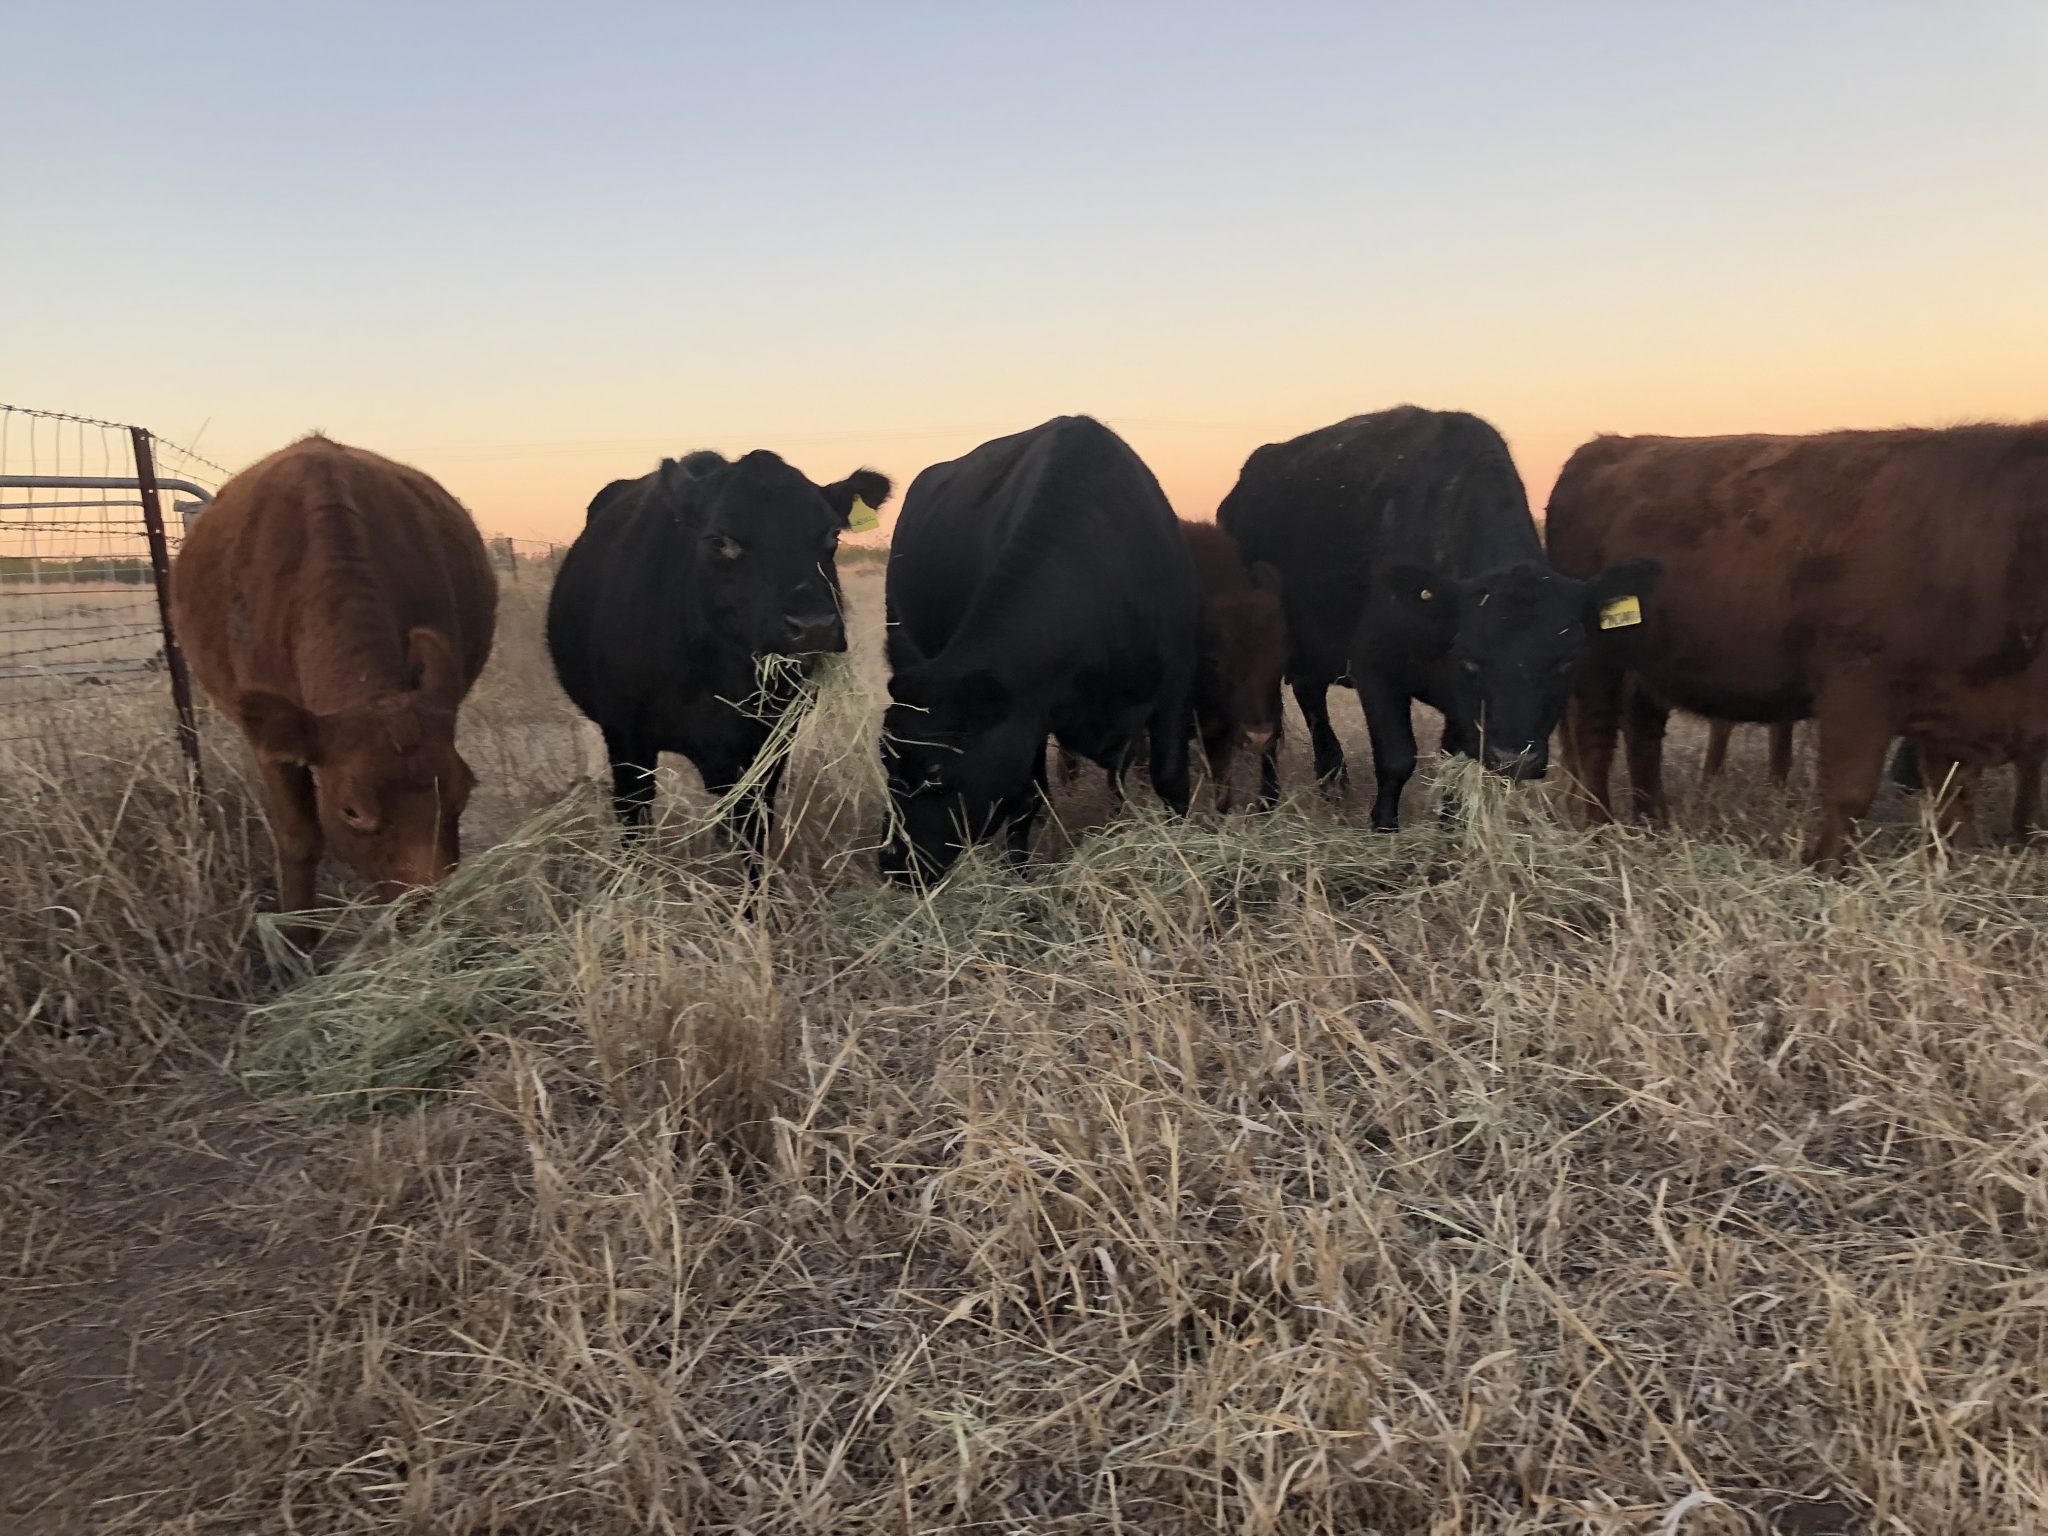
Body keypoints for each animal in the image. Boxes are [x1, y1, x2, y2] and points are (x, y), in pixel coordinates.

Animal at [171, 436, 497, 915]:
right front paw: (297, 934)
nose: (429, 904)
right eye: (351, 811)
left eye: (464, 789)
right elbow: (299, 840)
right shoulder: (271, 742)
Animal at [545, 450, 891, 868]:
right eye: (719, 541)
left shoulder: (769, 740)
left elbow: (752, 827)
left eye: (831, 535)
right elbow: (634, 823)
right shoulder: (624, 736)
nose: (814, 626)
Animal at [879, 416, 1198, 882]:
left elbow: (1169, 778)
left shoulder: (1175, 682)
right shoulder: (1028, 714)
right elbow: (1024, 800)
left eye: (935, 771)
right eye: (885, 761)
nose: (892, 863)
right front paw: (1018, 878)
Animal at [1217, 406, 1660, 829]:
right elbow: (1397, 759)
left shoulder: (1461, 706)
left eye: (1567, 660)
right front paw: (1384, 825)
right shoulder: (1374, 669)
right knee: (1271, 729)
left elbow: (1454, 765)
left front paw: (1449, 829)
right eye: (1470, 658)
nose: (1514, 759)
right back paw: (1269, 800)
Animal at [1548, 423, 2048, 870]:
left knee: (1643, 738)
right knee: (1595, 741)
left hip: (1646, 668)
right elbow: (1849, 791)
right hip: (1596, 663)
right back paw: (1599, 829)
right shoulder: (1857, 686)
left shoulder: (1952, 710)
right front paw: (1825, 869)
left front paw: (1951, 870)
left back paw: (1654, 824)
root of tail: (1603, 446)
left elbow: (1954, 801)